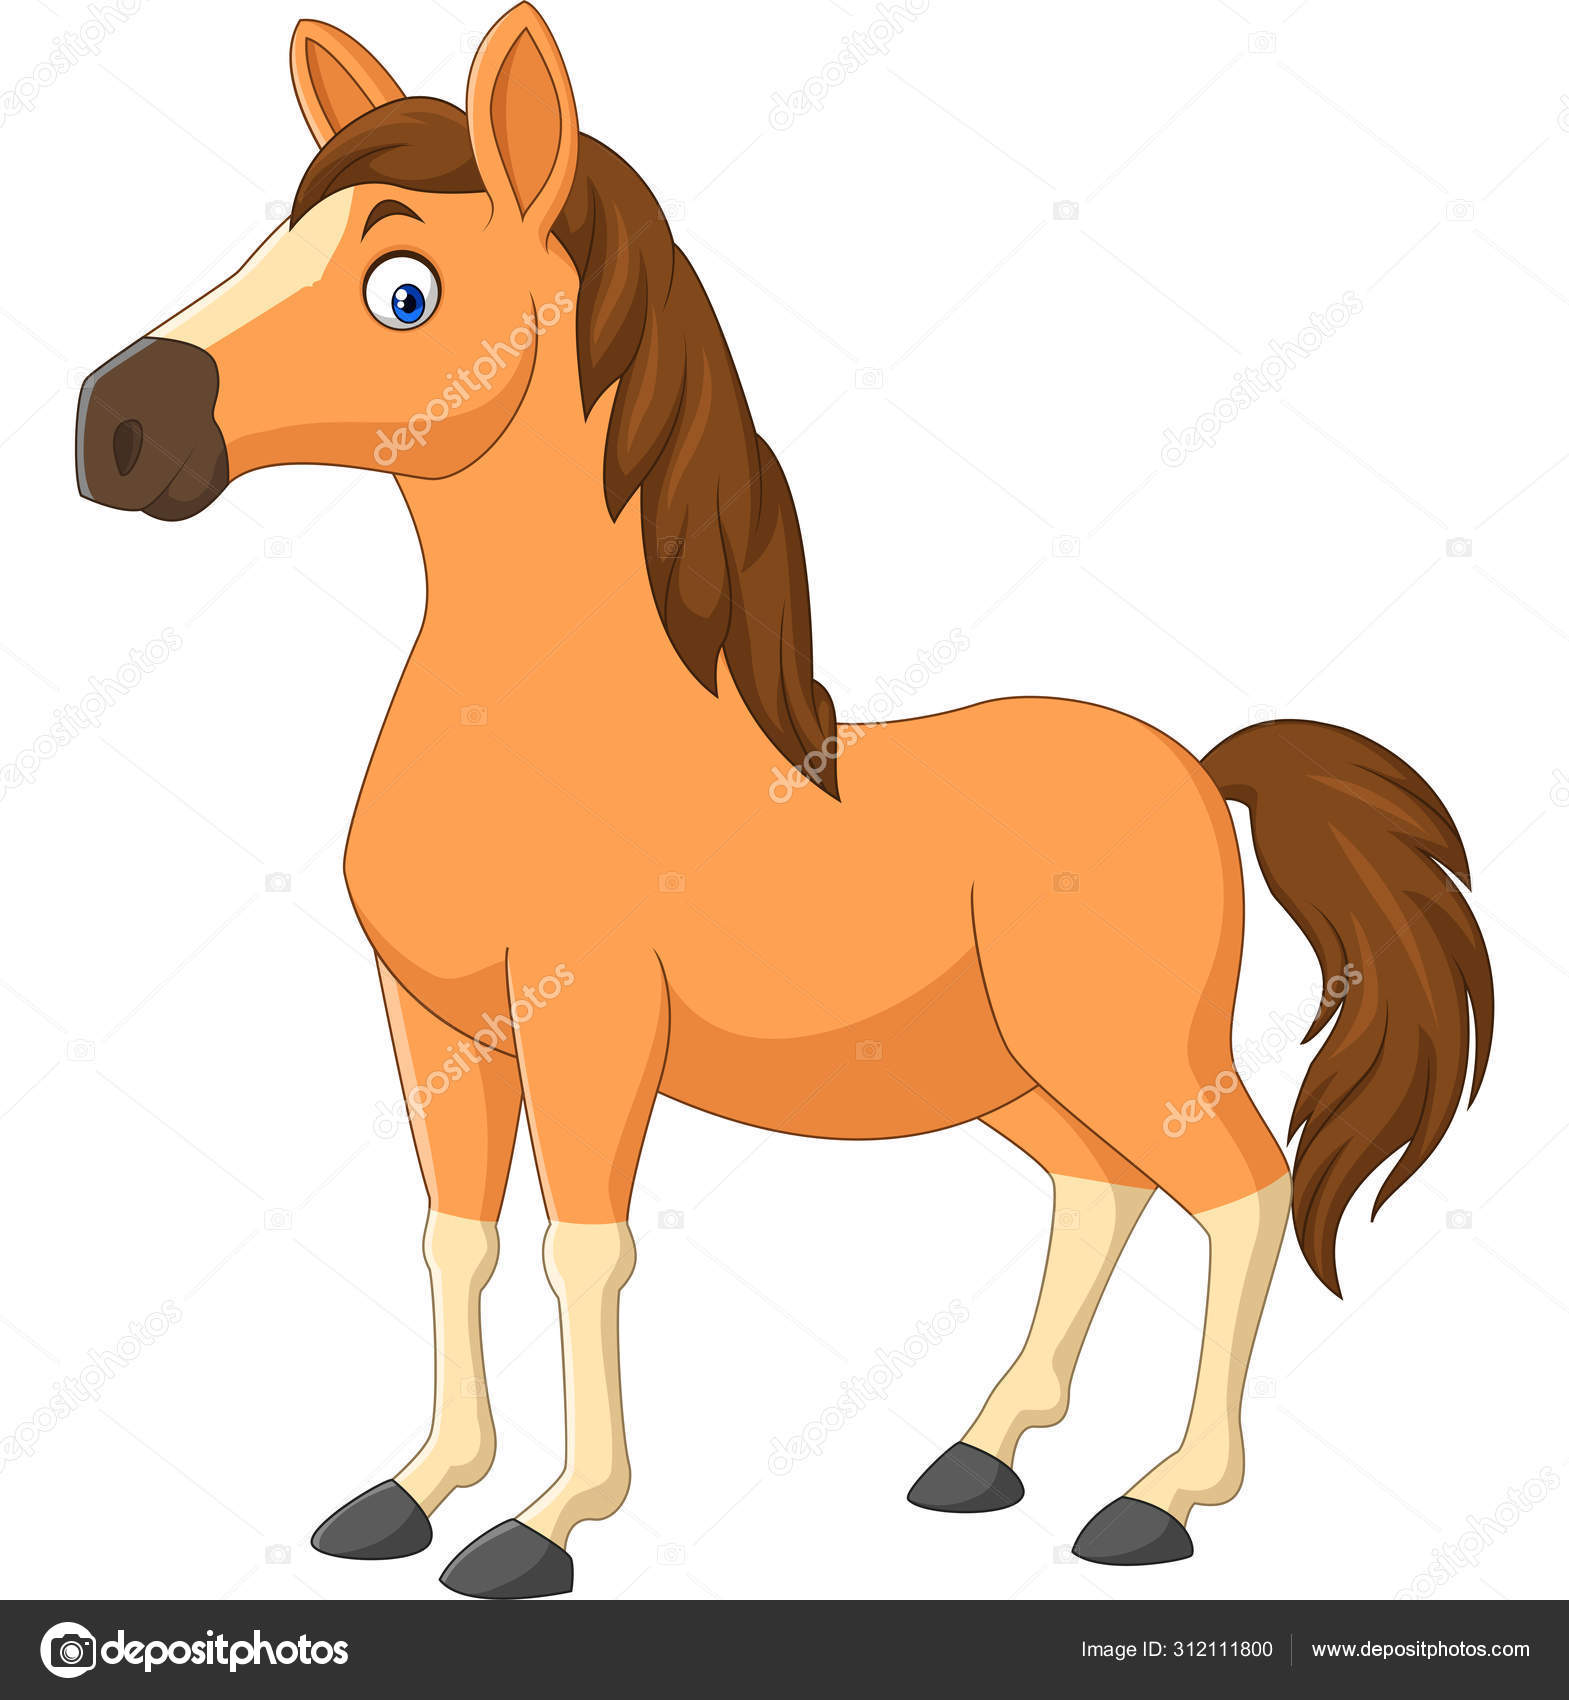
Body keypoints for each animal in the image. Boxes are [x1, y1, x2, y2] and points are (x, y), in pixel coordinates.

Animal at [74, 5, 1493, 1598]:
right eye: (276, 237)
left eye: (403, 288)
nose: (115, 428)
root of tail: (1199, 765)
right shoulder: (440, 1024)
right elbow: (454, 1238)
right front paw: (409, 1490)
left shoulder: (588, 1020)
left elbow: (583, 1246)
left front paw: (542, 1526)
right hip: (1016, 1073)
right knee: (1100, 1193)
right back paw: (980, 1455)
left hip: (1129, 1048)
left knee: (1240, 1192)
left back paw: (1161, 1499)